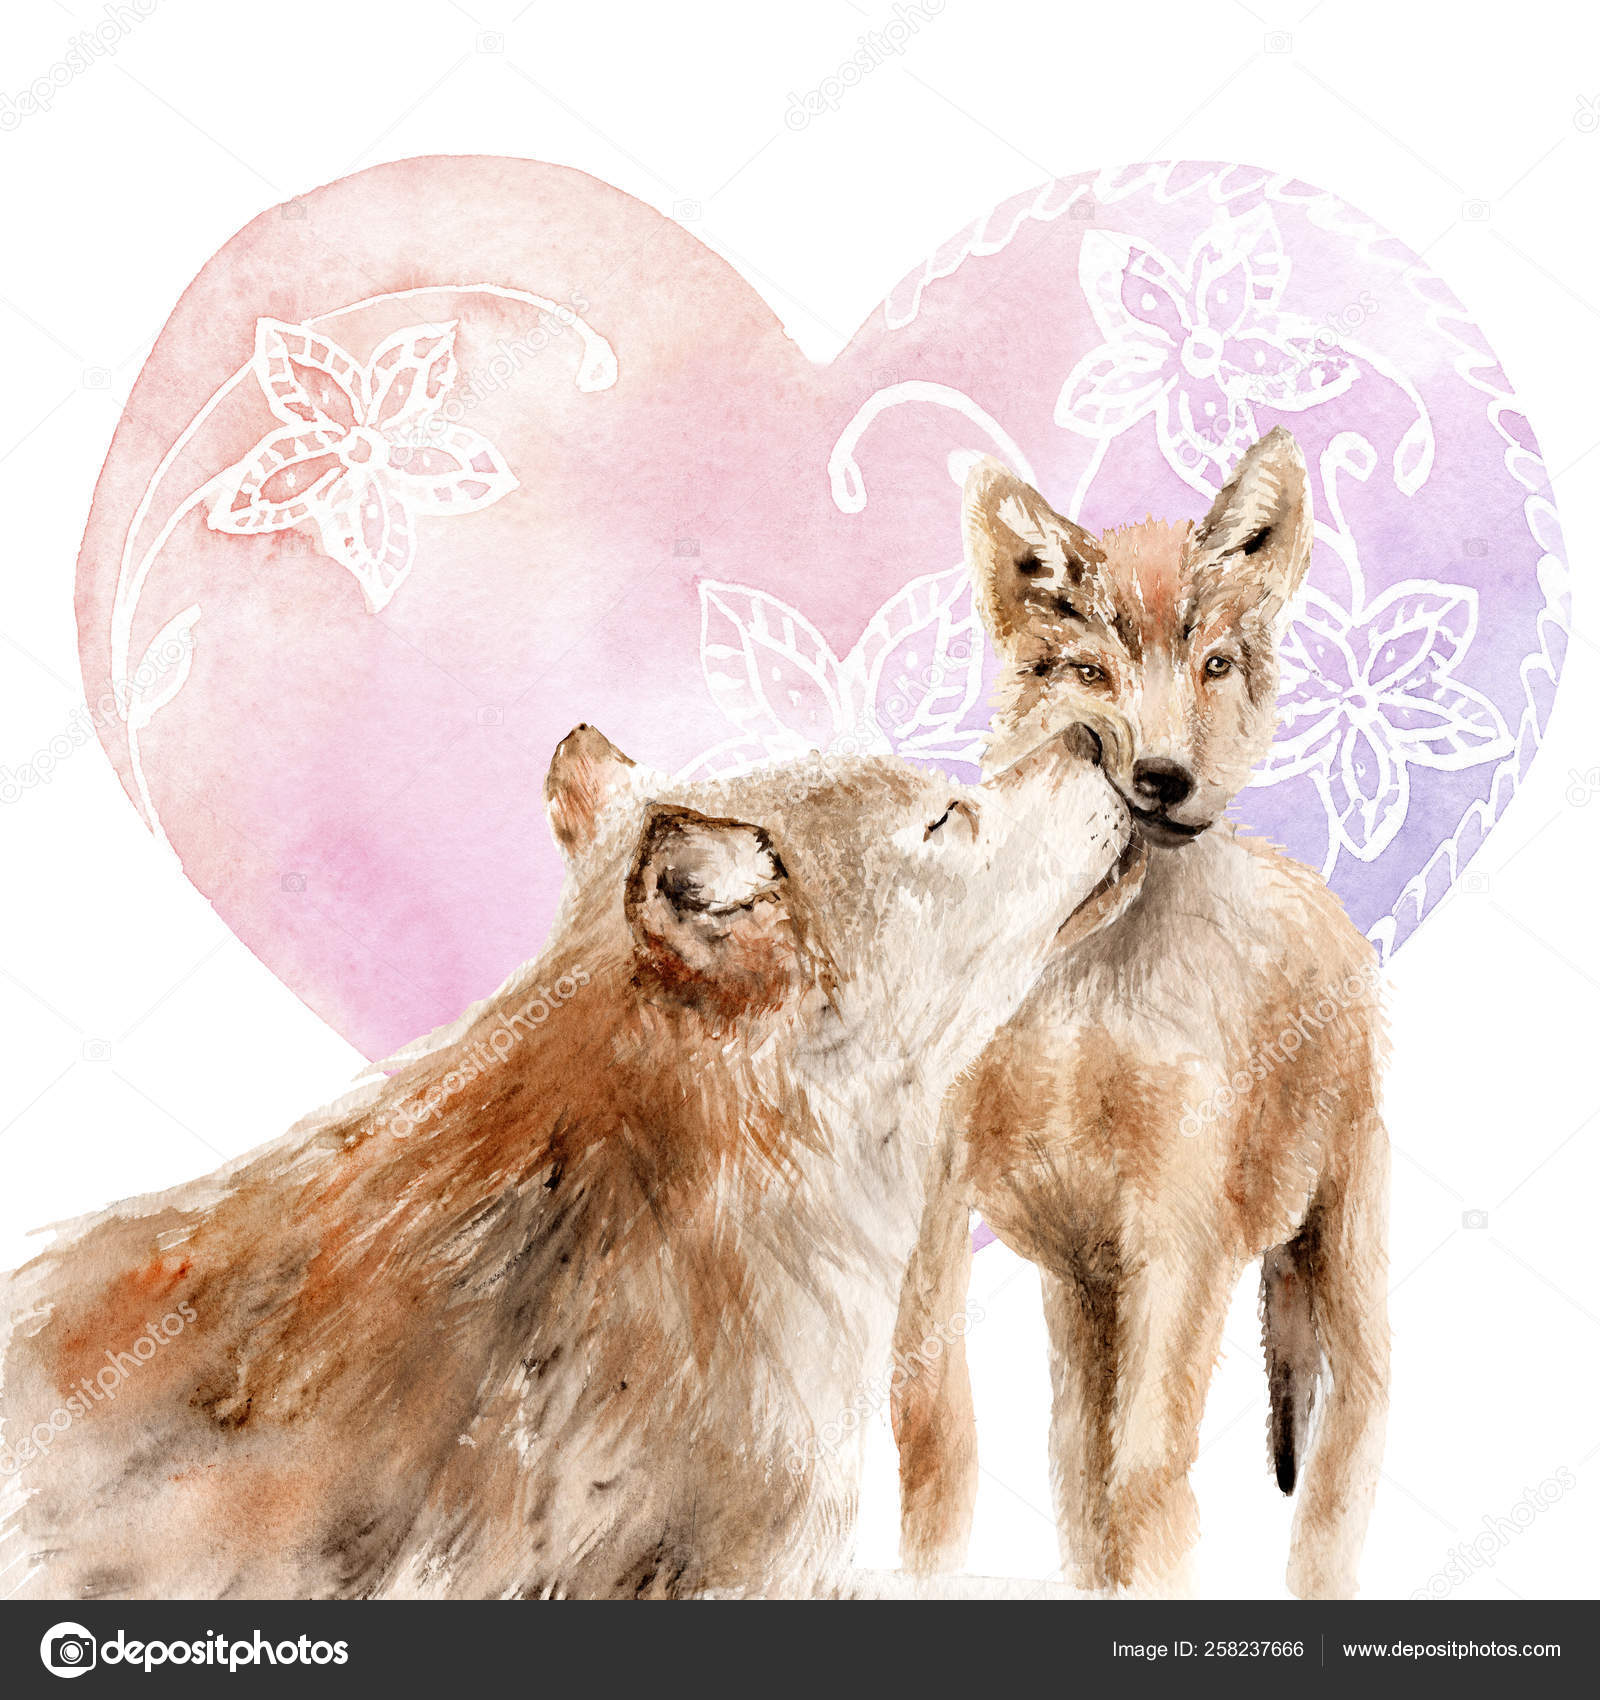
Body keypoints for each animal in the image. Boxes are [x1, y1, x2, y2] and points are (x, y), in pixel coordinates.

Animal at [892, 428, 1389, 1599]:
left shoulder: (1180, 1235)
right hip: (1090, 1300)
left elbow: (1149, 1485)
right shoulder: (943, 1222)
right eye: (1091, 672)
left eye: (1214, 664)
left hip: (1338, 1249)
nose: (1160, 777)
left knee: (1347, 1449)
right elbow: (941, 1465)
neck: (1081, 999)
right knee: (1077, 1467)